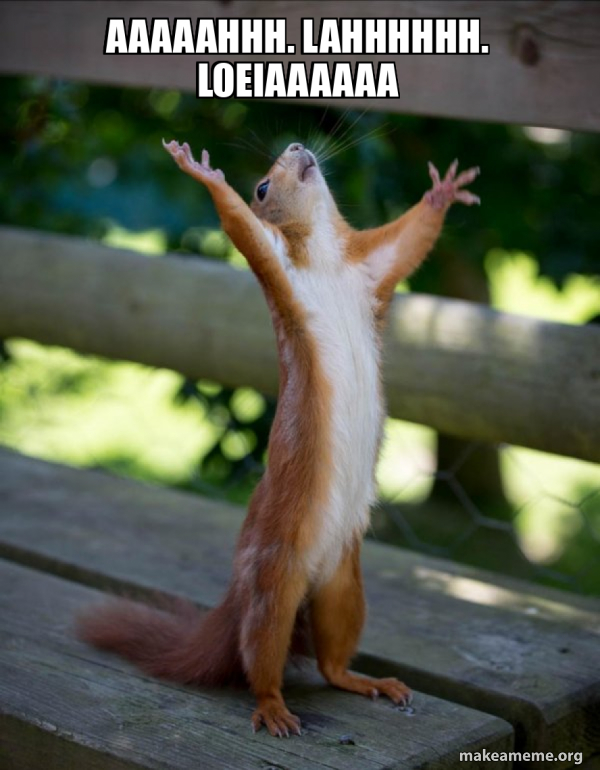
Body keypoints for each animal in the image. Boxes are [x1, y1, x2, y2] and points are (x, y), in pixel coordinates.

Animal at [77, 138, 480, 738]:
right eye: (262, 187)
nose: (296, 146)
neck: (327, 257)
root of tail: (239, 595)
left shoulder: (372, 267)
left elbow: (409, 240)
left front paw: (443, 192)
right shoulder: (277, 266)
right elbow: (240, 226)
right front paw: (204, 174)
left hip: (344, 586)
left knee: (332, 661)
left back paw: (368, 681)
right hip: (273, 584)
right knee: (260, 658)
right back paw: (273, 708)